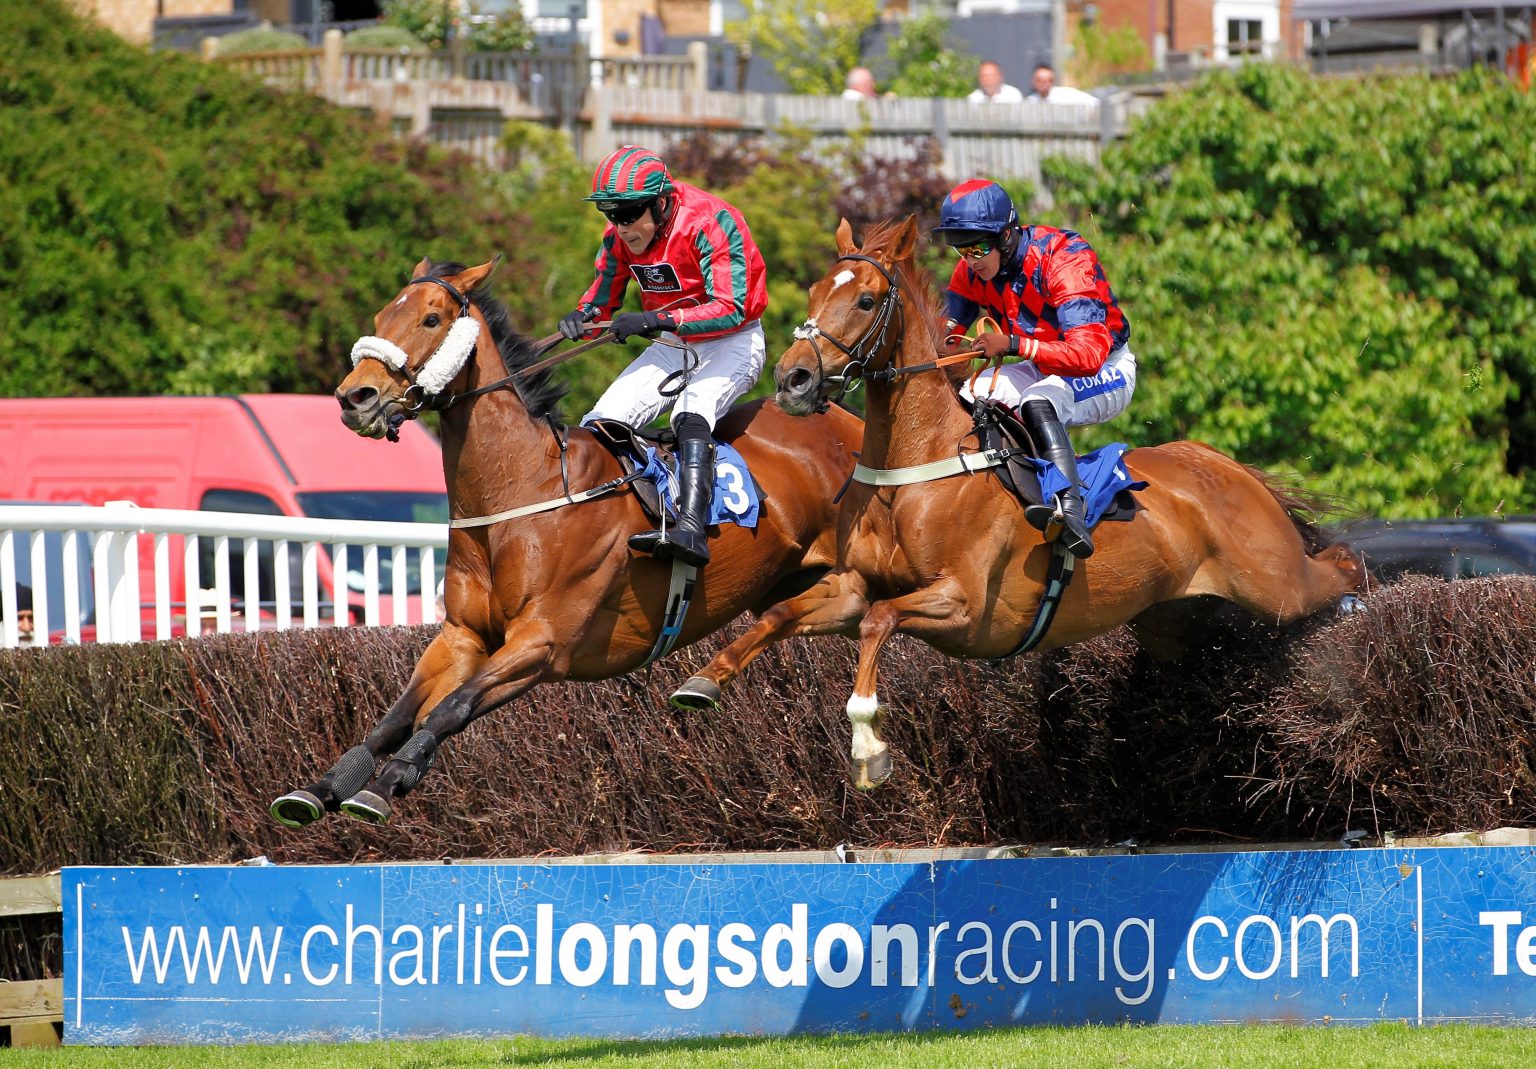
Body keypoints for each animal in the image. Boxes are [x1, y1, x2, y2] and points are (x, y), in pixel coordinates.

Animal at [270, 257, 861, 826]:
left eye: (432, 319)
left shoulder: (543, 641)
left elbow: (451, 707)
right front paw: (323, 787)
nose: (355, 397)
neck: (523, 492)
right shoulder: (461, 635)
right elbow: (396, 716)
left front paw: (390, 781)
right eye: (380, 317)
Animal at [670, 217, 1367, 790]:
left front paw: (869, 748)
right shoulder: (850, 586)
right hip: (1174, 620)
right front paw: (703, 680)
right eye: (816, 293)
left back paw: (1361, 619)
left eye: (865, 299)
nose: (793, 380)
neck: (914, 468)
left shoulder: (964, 603)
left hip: (1273, 581)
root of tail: (1218, 464)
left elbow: (879, 622)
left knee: (1342, 565)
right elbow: (779, 615)